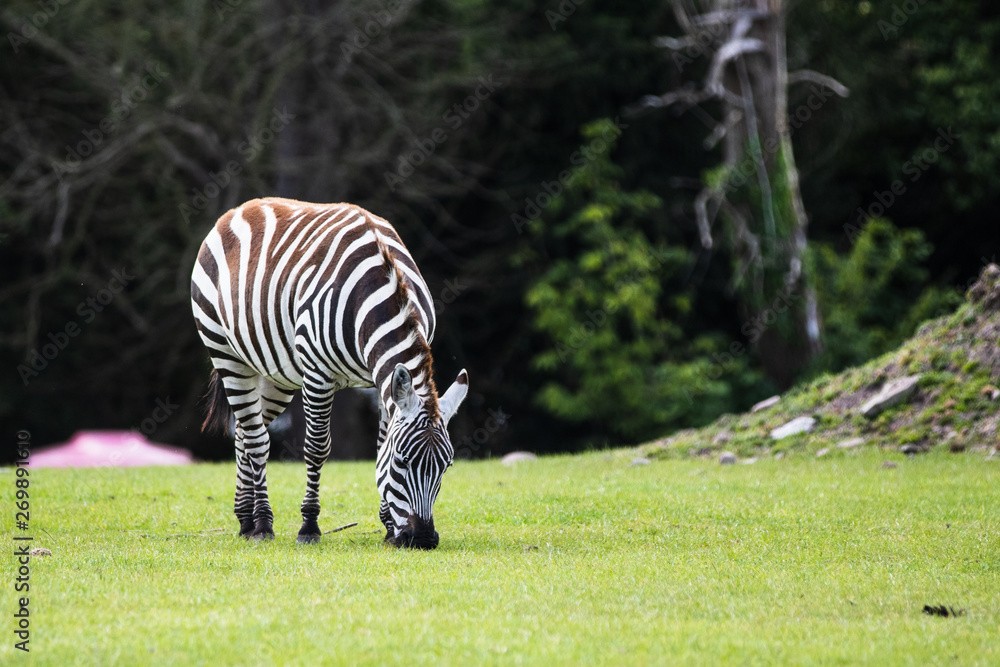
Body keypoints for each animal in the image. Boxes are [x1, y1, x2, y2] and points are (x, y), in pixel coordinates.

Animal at [190, 197, 468, 549]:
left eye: (446, 467)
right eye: (401, 462)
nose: (423, 540)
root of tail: (243, 207)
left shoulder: (383, 382)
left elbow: (379, 446)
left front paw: (389, 526)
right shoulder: (317, 374)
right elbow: (317, 448)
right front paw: (309, 526)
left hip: (276, 374)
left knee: (243, 432)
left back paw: (245, 521)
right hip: (226, 353)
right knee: (256, 440)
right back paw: (262, 523)